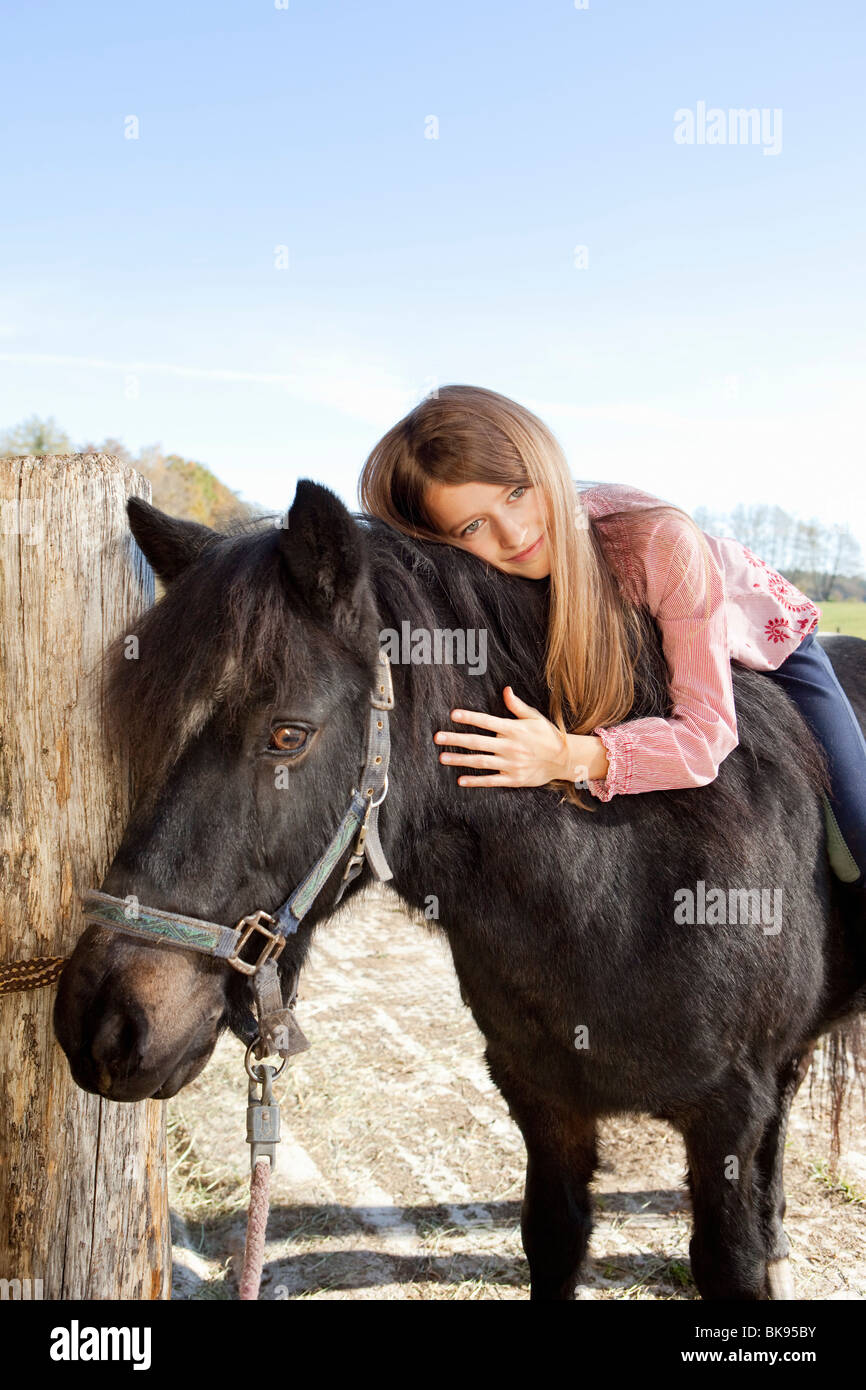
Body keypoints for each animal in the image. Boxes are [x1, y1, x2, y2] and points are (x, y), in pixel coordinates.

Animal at [54, 479, 866, 1300]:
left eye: (288, 736)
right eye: (144, 731)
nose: (102, 1024)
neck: (624, 896)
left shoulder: (726, 1114)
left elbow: (728, 1261)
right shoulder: (543, 1098)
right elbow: (553, 1236)